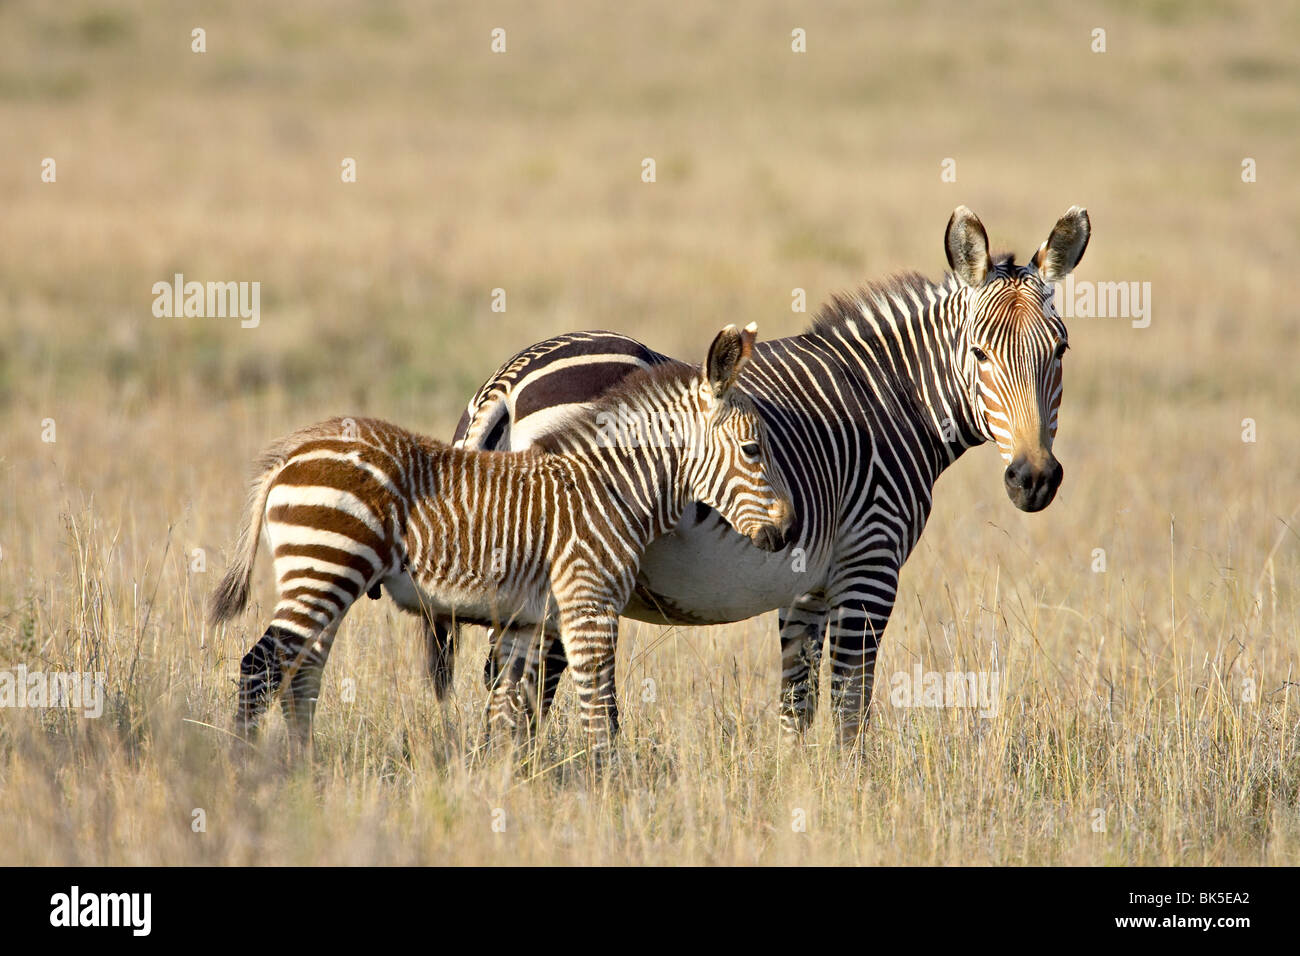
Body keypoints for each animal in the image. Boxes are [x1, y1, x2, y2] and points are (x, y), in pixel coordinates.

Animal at [209, 322, 793, 758]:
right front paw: (606, 790)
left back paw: (302, 772)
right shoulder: (589, 603)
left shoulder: (528, 618)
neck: (610, 486)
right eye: (753, 449)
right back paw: (244, 771)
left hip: (323, 577)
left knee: (300, 674)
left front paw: (507, 786)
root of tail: (292, 452)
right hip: (326, 565)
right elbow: (597, 711)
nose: (788, 532)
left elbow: (512, 708)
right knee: (260, 668)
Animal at [435, 205, 1091, 747]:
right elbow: (850, 707)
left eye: (1059, 351)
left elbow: (796, 704)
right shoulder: (870, 562)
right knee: (520, 693)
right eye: (979, 353)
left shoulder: (808, 583)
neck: (890, 398)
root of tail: (507, 382)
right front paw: (853, 797)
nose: (1033, 479)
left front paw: (800, 790)